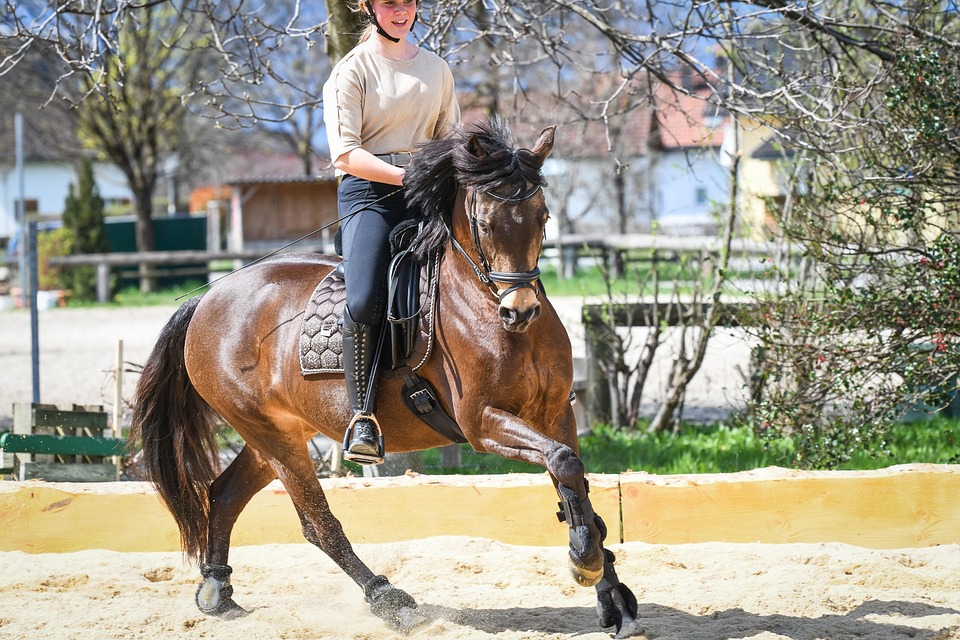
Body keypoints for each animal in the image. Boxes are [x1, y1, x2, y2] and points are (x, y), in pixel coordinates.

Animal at [130, 117, 640, 638]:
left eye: (543, 217)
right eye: (484, 223)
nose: (520, 312)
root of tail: (208, 298)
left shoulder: (555, 413)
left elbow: (573, 478)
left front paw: (610, 595)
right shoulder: (481, 423)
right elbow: (563, 463)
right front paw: (585, 562)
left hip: (276, 432)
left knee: (224, 493)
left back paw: (216, 591)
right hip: (272, 436)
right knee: (318, 525)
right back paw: (387, 599)